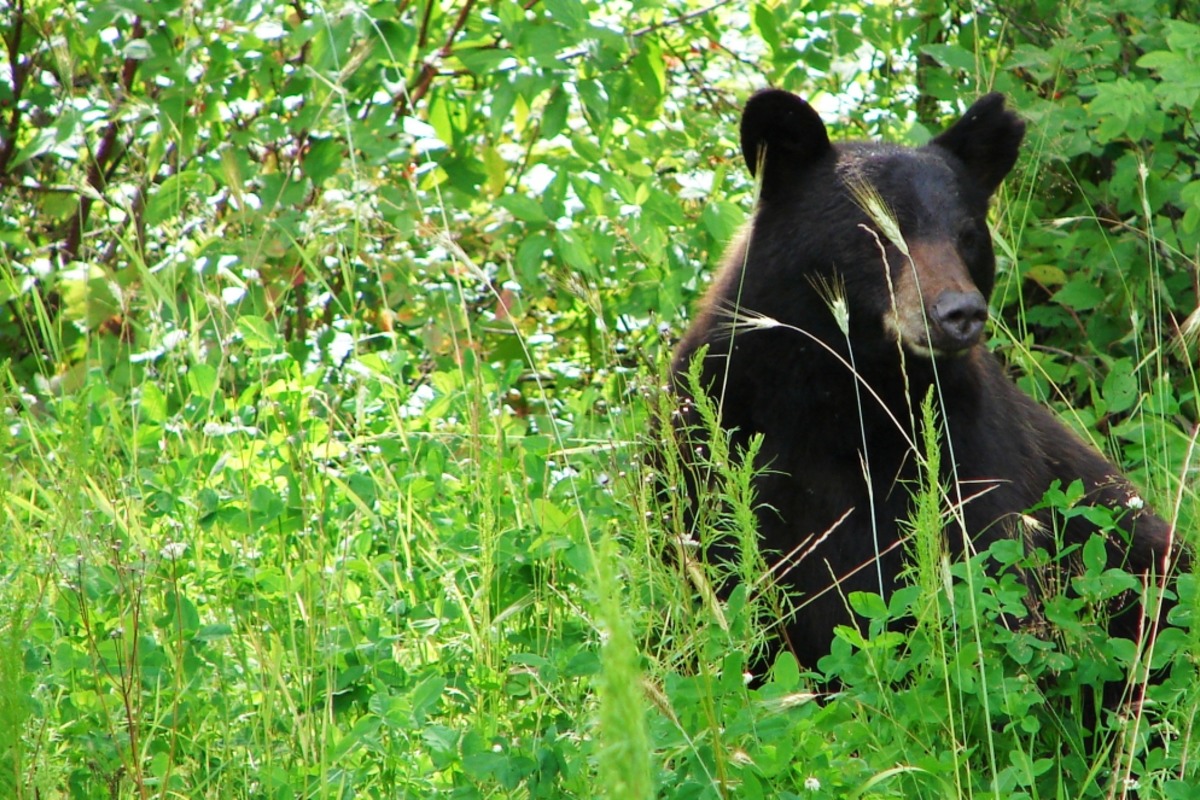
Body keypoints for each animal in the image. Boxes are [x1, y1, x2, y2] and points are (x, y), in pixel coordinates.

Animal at [669, 89, 1189, 684]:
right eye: (874, 231)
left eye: (967, 236)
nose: (959, 313)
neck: (846, 391)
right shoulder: (718, 426)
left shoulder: (966, 446)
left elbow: (991, 569)